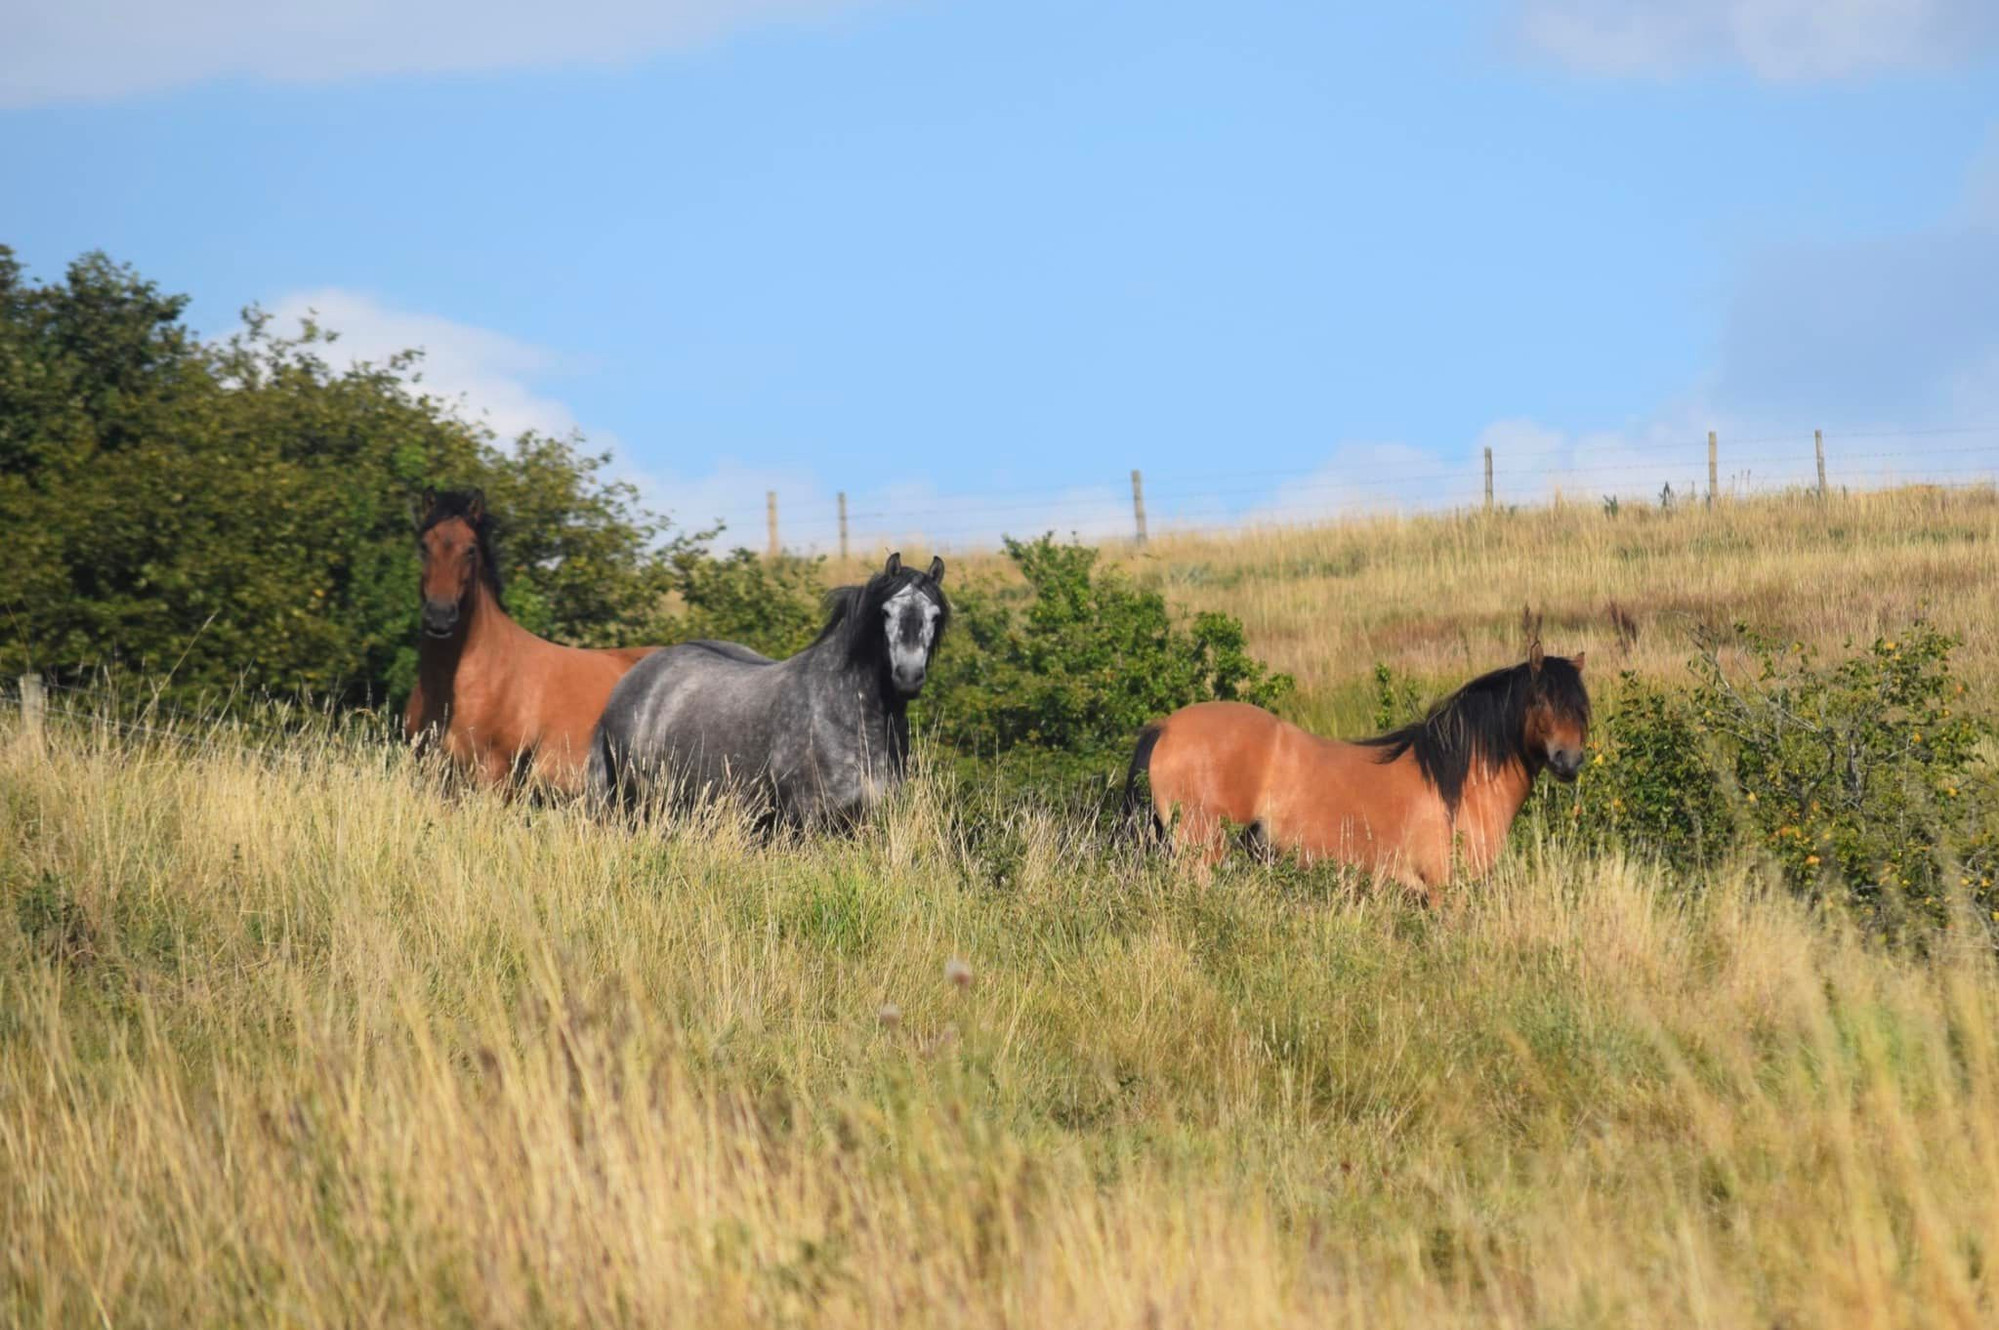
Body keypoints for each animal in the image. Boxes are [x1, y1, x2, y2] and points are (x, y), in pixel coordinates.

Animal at [589, 552, 949, 828]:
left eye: (935, 615)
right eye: (885, 612)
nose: (908, 676)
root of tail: (630, 682)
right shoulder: (804, 817)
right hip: (641, 803)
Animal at [1123, 643, 1589, 902]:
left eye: (1581, 705)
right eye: (1540, 701)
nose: (1569, 760)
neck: (1457, 783)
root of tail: (1165, 726)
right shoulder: (1445, 893)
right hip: (1201, 854)